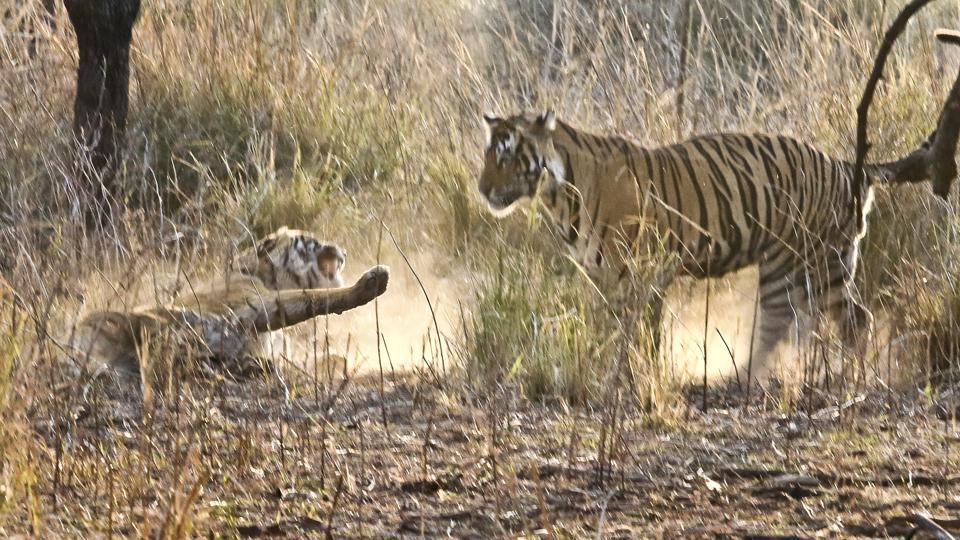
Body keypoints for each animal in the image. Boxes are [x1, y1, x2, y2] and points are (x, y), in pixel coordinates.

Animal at [69, 227, 389, 390]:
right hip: (170, 323)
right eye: (312, 241)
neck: (264, 274)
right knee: (174, 357)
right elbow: (313, 296)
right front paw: (371, 282)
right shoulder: (261, 303)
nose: (343, 251)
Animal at [479, 110, 940, 364]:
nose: (482, 190)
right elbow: (605, 330)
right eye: (487, 154)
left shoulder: (639, 274)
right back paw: (745, 377)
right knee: (783, 323)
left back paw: (849, 378)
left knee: (855, 320)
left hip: (822, 260)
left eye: (507, 156)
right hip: (786, 266)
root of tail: (845, 164)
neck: (559, 195)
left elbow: (637, 336)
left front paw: (632, 376)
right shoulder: (600, 277)